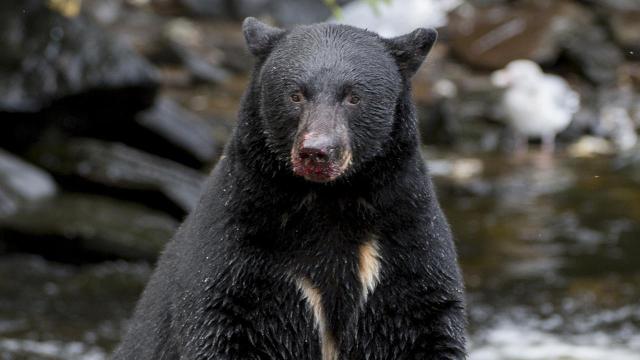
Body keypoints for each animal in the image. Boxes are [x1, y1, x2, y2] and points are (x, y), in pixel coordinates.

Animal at [114, 17, 464, 360]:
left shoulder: (405, 236)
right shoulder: (235, 243)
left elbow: (427, 315)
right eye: (295, 94)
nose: (317, 152)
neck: (328, 200)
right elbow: (218, 320)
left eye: (353, 96)